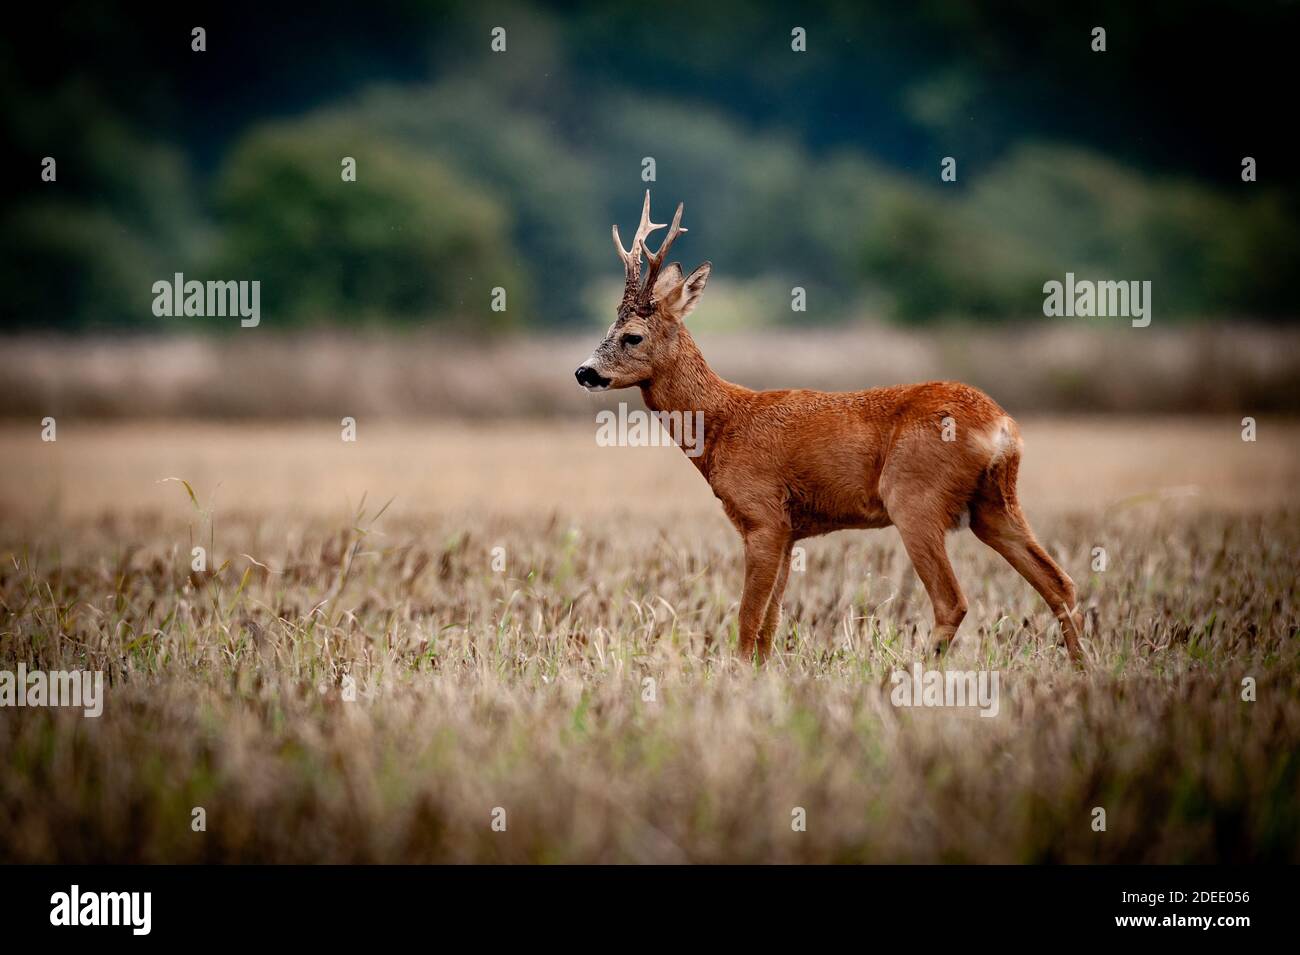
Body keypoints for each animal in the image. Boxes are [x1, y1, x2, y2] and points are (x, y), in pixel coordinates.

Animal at [575, 191, 1086, 665]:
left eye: (633, 336)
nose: (583, 372)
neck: (723, 425)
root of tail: (1002, 426)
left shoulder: (762, 515)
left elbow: (748, 619)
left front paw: (734, 677)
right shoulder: (789, 530)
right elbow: (771, 624)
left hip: (915, 496)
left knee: (952, 602)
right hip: (995, 503)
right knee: (1060, 584)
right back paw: (1083, 670)